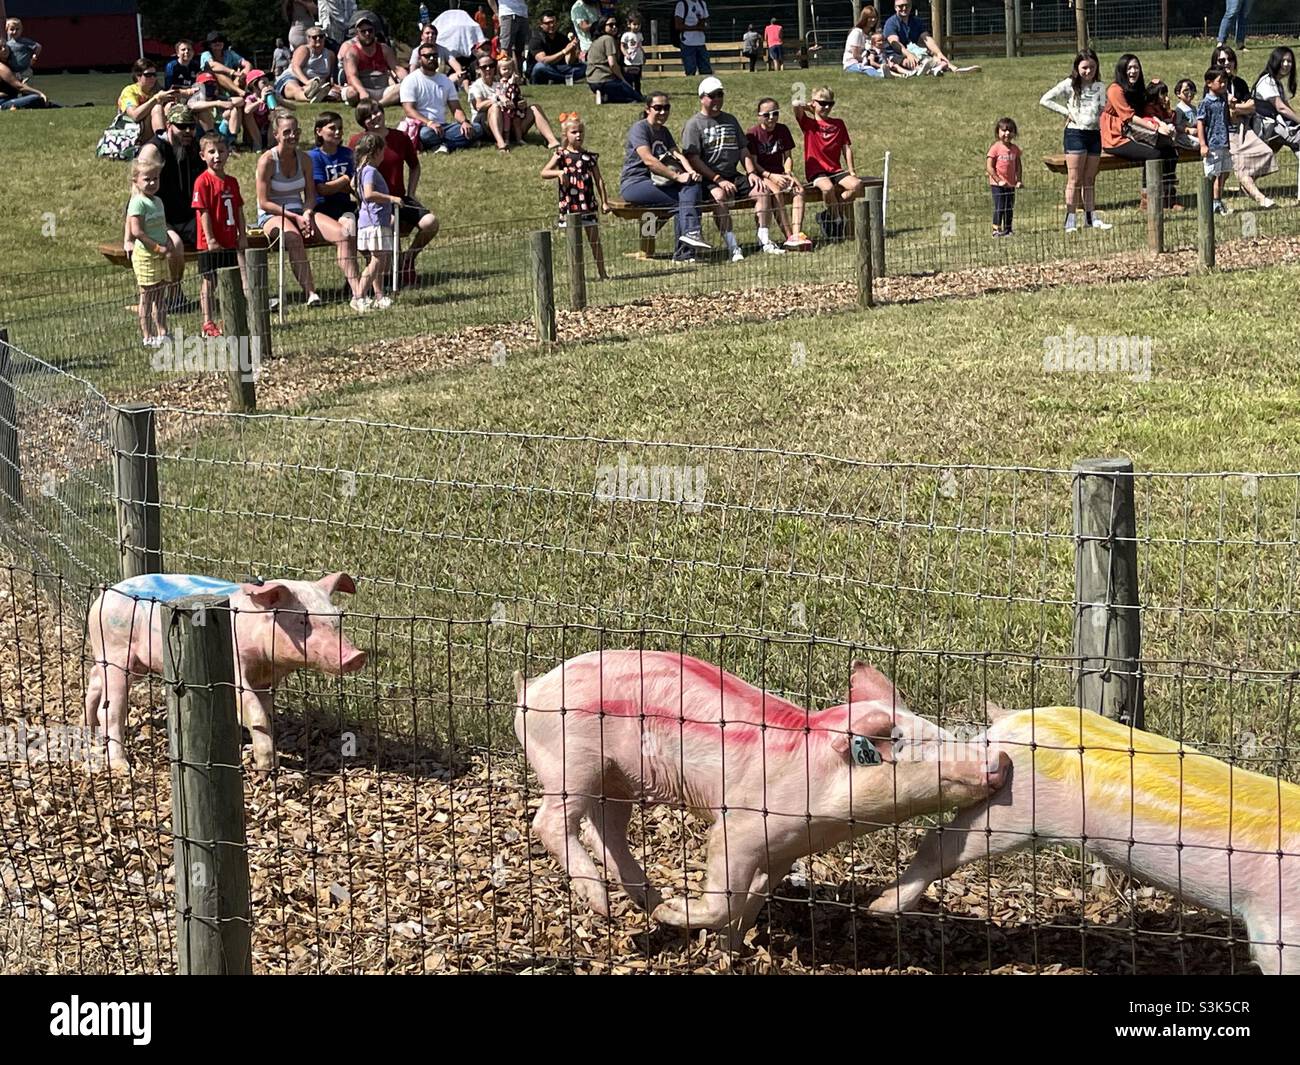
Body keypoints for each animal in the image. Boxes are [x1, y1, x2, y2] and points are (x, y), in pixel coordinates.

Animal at [84, 572, 367, 772]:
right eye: (301, 620)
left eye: (336, 617)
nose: (357, 656)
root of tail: (101, 599)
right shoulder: (236, 670)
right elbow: (254, 711)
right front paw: (266, 767)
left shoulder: (266, 679)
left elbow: (266, 714)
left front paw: (268, 762)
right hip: (116, 653)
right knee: (111, 709)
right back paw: (122, 767)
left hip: (125, 661)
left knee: (94, 679)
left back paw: (89, 728)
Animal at [514, 651, 1010, 944]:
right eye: (927, 748)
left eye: (947, 735)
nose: (1002, 760)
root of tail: (530, 689)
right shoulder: (739, 828)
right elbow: (724, 891)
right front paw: (678, 914)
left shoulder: (787, 850)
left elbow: (752, 899)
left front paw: (730, 948)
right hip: (571, 760)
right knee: (551, 820)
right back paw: (609, 903)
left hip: (616, 777)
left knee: (606, 828)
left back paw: (648, 900)